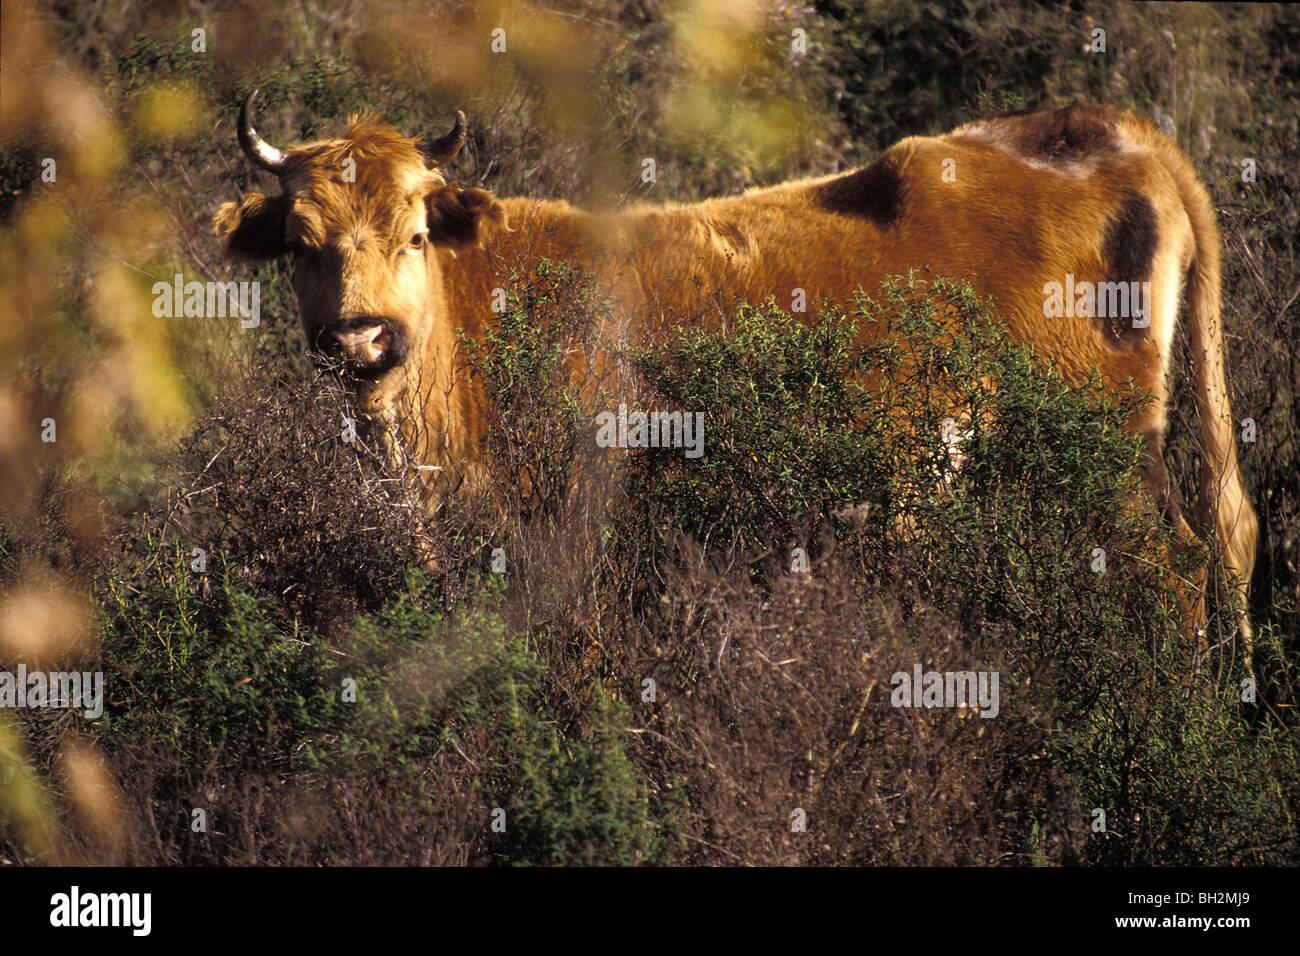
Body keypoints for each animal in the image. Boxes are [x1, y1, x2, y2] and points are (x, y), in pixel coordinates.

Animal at [214, 92, 1258, 643]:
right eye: (300, 244)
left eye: (418, 233)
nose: (361, 339)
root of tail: (1107, 128)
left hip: (1112, 455)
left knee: (1176, 561)